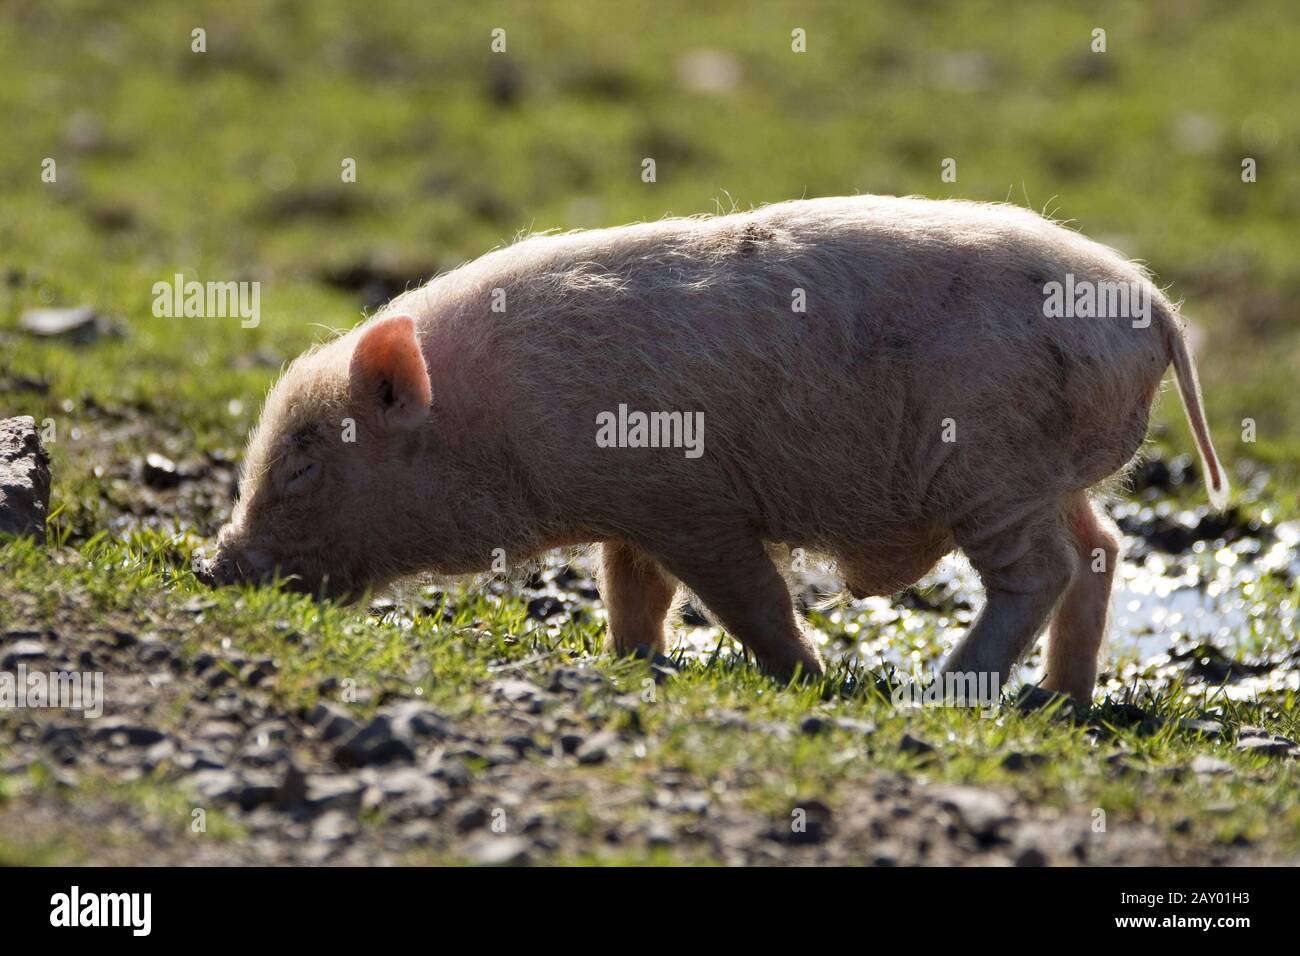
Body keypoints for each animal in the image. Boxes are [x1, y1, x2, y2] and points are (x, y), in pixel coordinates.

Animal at [197, 195, 1228, 702]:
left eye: (302, 465)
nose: (215, 566)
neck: (489, 417)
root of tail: (1154, 306)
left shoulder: (693, 503)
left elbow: (749, 596)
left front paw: (806, 679)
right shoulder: (633, 511)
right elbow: (631, 589)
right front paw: (630, 661)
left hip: (991, 467)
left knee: (1044, 569)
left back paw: (944, 692)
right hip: (1046, 475)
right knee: (1102, 549)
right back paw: (1060, 701)